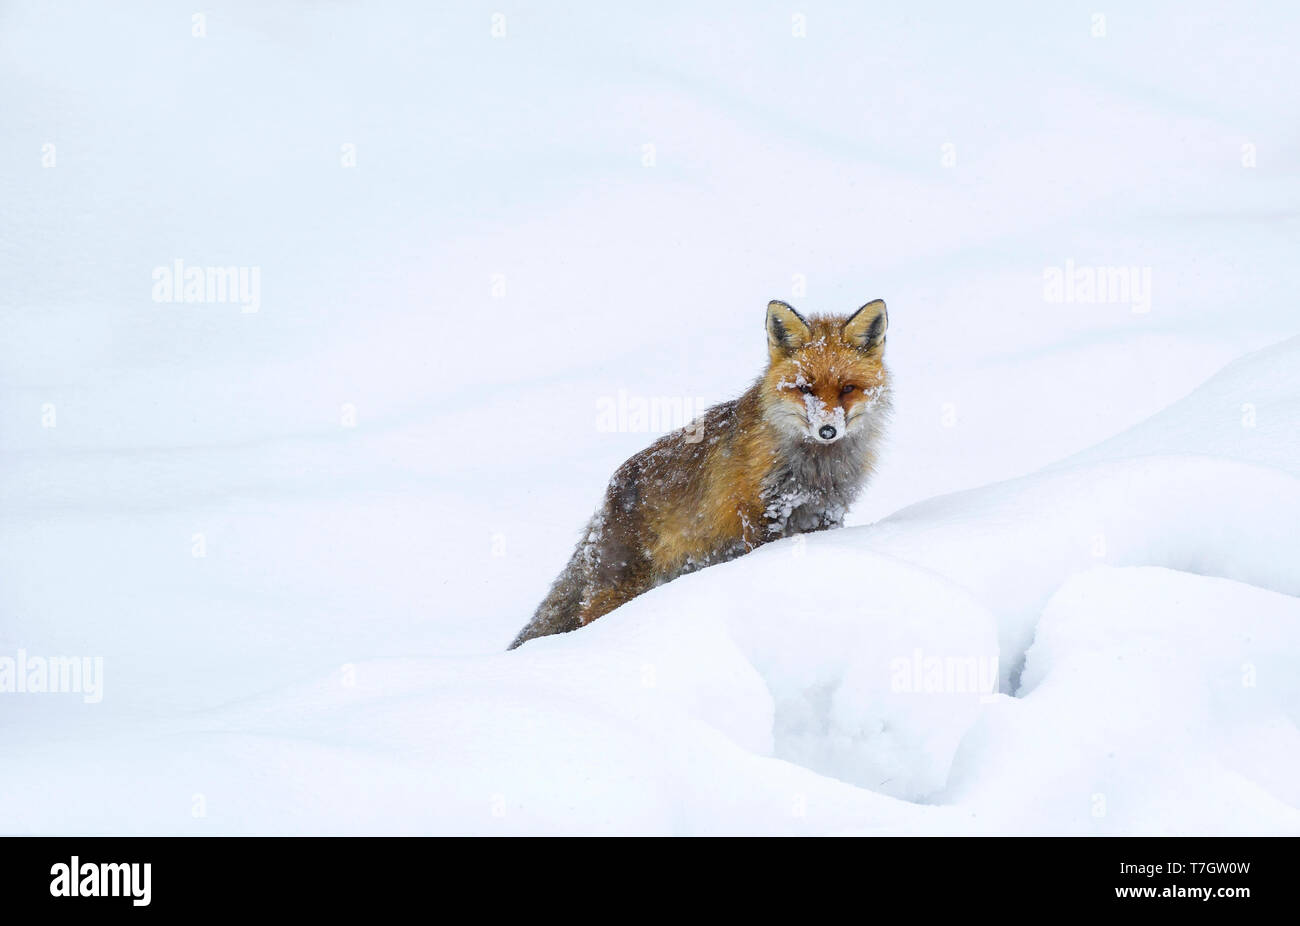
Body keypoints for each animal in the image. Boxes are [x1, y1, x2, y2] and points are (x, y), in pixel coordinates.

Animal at [508, 298, 891, 650]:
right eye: (804, 388)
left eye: (847, 388)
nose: (828, 431)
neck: (815, 471)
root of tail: (607, 499)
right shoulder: (760, 515)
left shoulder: (828, 513)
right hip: (622, 588)